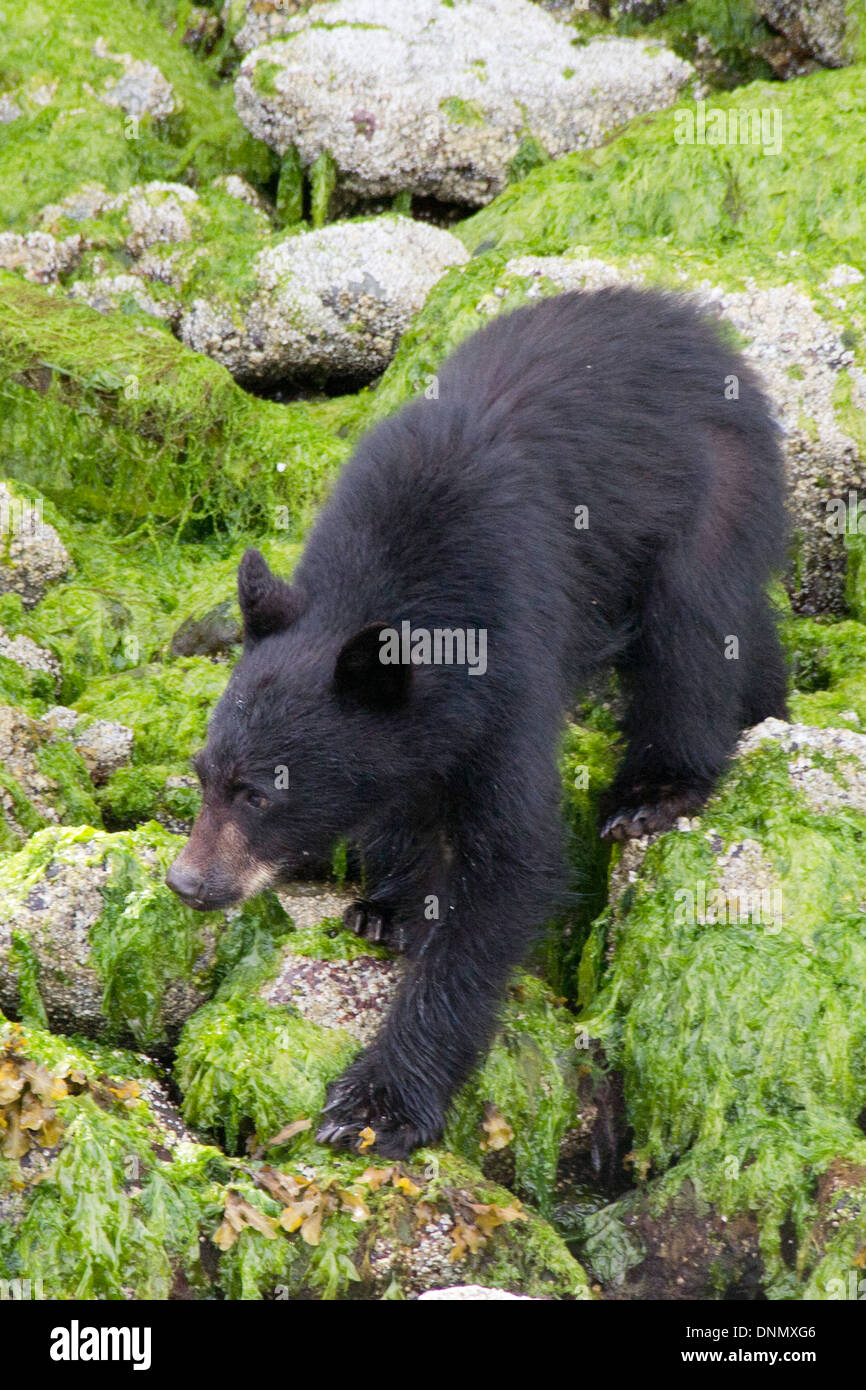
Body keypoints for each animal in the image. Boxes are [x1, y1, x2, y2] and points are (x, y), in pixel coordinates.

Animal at [166, 287, 788, 1158]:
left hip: (707, 492)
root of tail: (696, 322)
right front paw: (390, 905)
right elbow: (402, 798)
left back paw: (656, 790)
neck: (392, 577)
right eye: (203, 775)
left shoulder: (510, 659)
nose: (188, 883)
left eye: (259, 793)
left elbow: (509, 863)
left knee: (692, 635)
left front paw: (377, 1103)